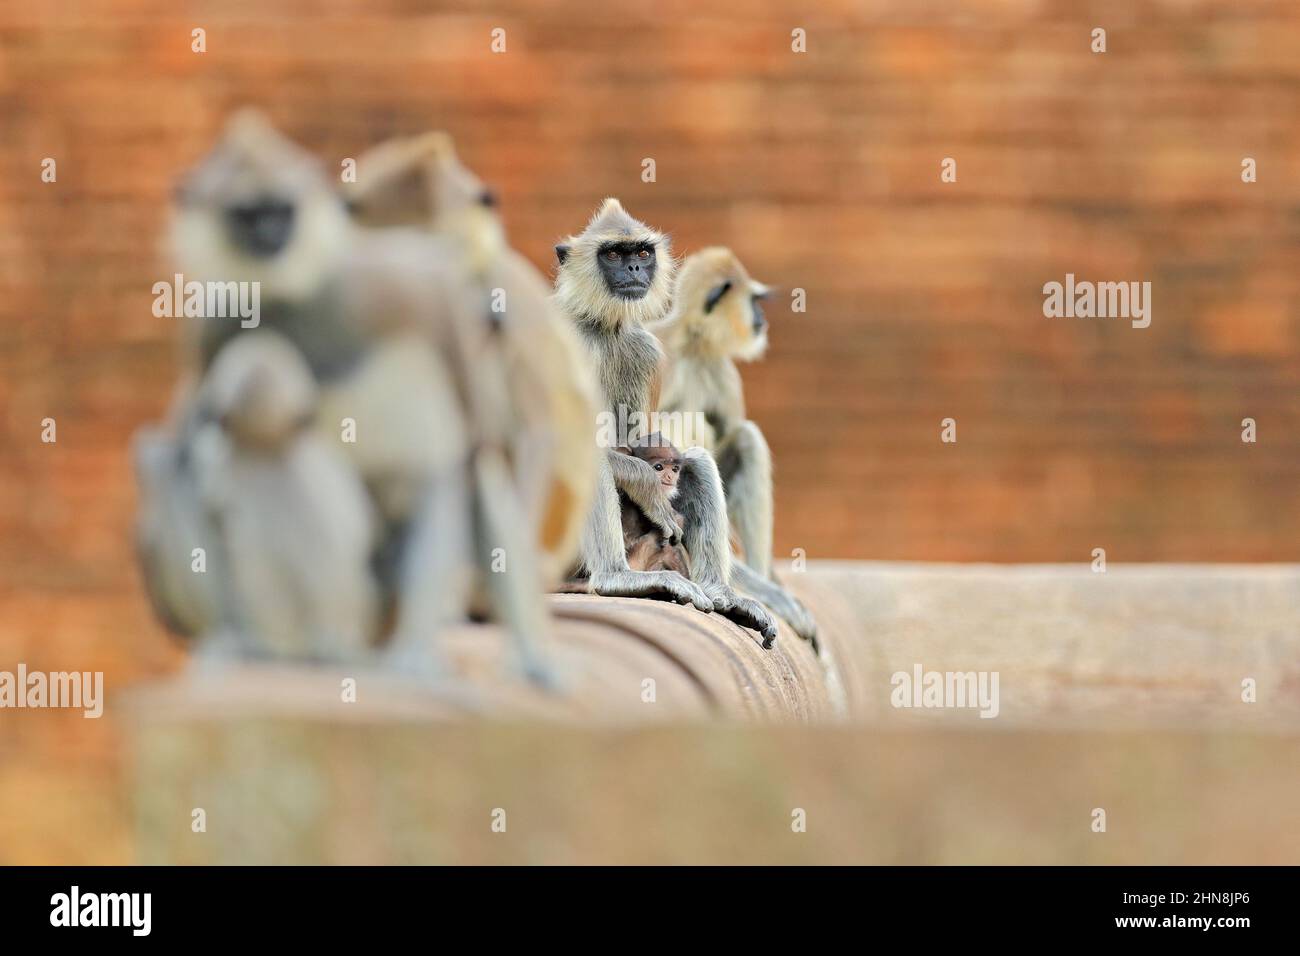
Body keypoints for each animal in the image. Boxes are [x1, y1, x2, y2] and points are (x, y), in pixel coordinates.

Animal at [553, 199, 777, 647]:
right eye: (613, 254)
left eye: (642, 252)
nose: (635, 269)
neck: (597, 327)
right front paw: (649, 489)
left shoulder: (642, 347)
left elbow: (646, 444)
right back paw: (615, 579)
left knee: (699, 459)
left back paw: (724, 595)